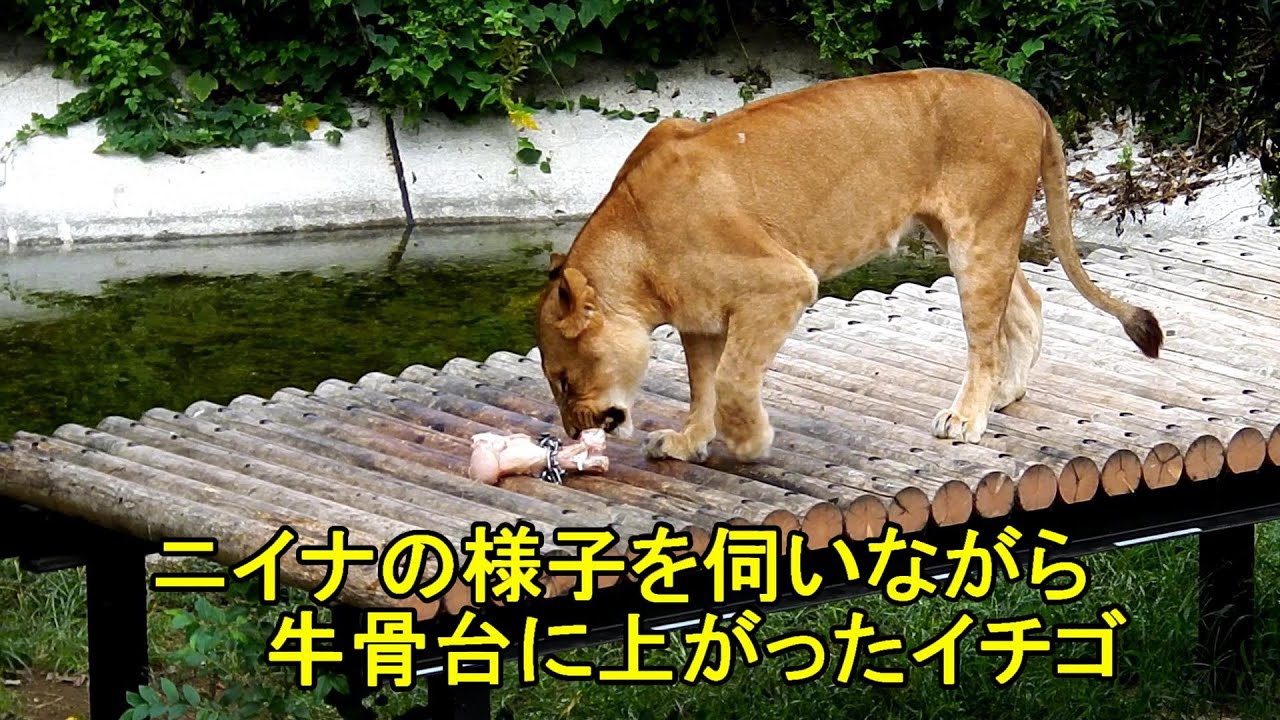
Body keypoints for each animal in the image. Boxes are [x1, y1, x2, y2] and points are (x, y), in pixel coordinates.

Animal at [534, 67, 1162, 464]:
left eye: (564, 380)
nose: (572, 433)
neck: (636, 248)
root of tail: (1029, 99)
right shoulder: (702, 320)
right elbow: (703, 387)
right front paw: (689, 443)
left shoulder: (781, 285)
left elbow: (733, 381)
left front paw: (750, 444)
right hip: (961, 235)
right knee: (1026, 301)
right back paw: (1003, 394)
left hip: (977, 238)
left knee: (984, 336)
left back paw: (967, 418)